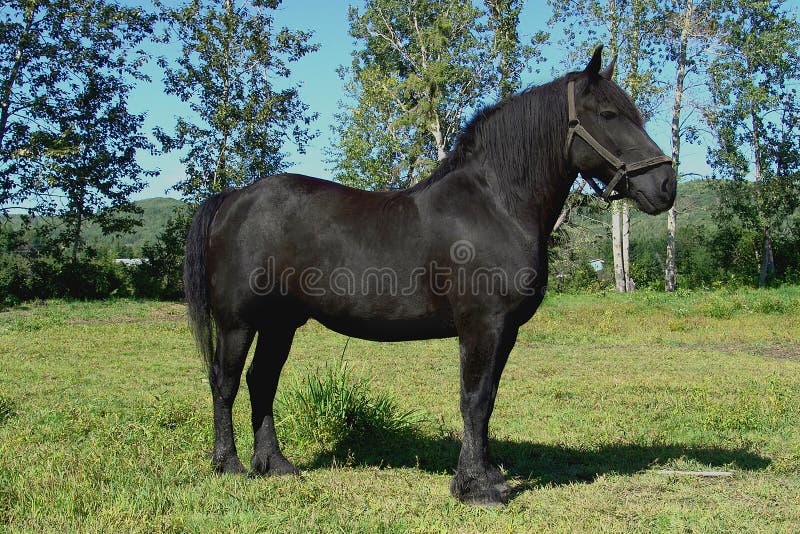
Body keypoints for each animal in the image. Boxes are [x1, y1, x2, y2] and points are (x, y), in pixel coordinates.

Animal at [183, 46, 676, 505]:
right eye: (608, 115)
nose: (666, 186)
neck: (495, 205)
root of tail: (233, 197)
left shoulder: (506, 330)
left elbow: (488, 399)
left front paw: (489, 476)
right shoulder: (482, 325)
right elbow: (474, 399)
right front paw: (475, 487)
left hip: (280, 323)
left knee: (261, 381)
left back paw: (275, 464)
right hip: (238, 323)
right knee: (225, 382)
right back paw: (229, 465)